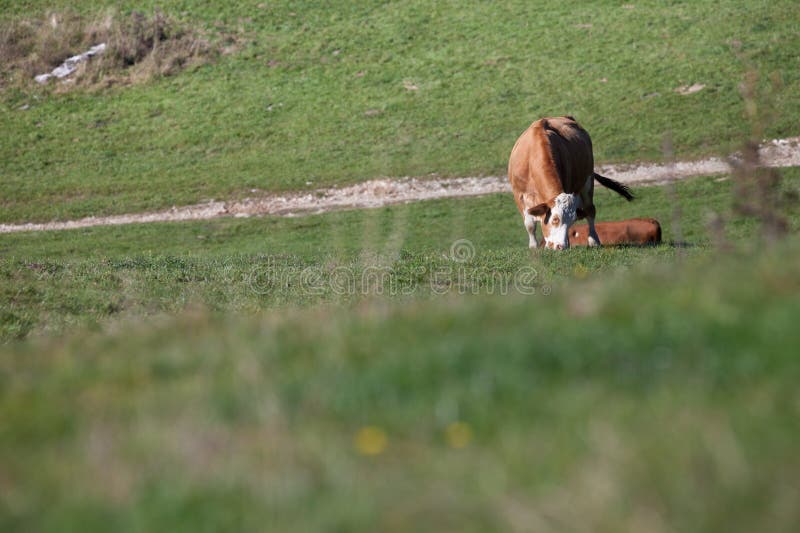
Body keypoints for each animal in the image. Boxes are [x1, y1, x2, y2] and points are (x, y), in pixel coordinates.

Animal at [508, 116, 634, 249]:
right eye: (555, 219)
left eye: (572, 220)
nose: (561, 246)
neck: (532, 158)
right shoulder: (518, 194)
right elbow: (530, 224)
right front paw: (533, 247)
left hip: (588, 180)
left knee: (590, 210)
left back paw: (594, 240)